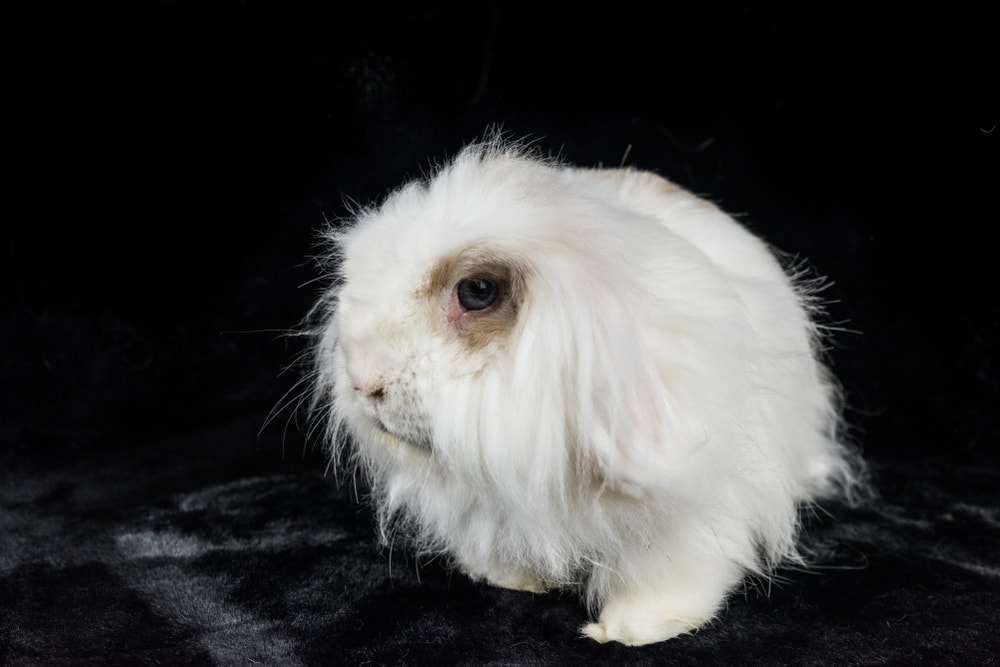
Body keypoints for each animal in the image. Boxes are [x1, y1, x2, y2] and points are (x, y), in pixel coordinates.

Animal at [310, 137, 862, 646]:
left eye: (477, 291)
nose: (362, 380)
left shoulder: (692, 512)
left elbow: (666, 573)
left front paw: (631, 628)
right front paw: (508, 578)